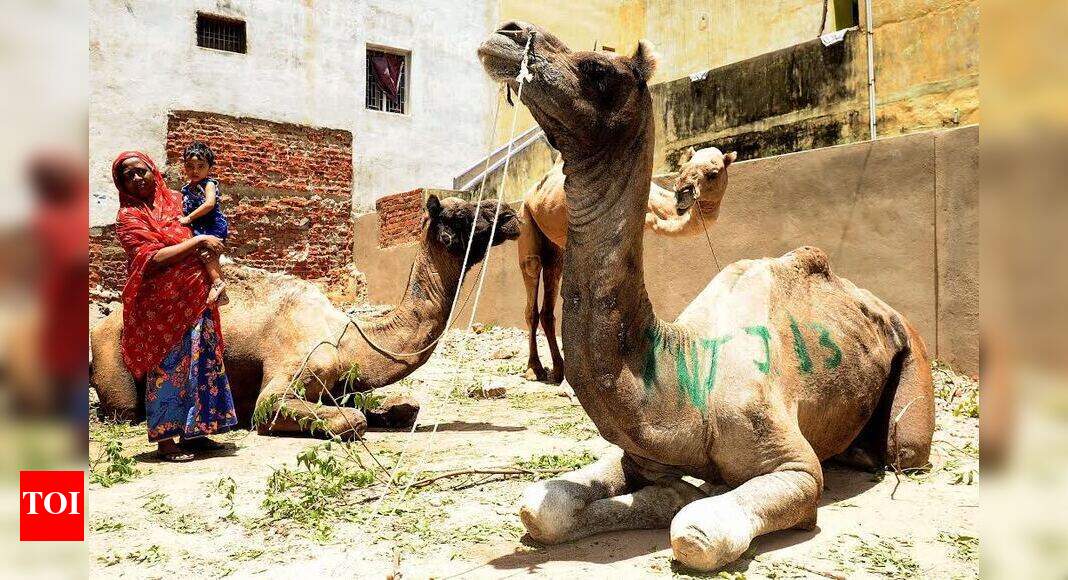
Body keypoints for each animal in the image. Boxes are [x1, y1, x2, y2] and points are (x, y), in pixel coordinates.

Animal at [91, 196, 521, 439]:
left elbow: (402, 408)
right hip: (112, 356)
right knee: (124, 409)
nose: (512, 215)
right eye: (463, 215)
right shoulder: (293, 372)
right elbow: (348, 419)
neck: (350, 339)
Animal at [519, 146, 736, 383]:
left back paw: (558, 371)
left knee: (551, 281)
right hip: (525, 219)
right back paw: (535, 369)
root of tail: (530, 193)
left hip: (554, 247)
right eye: (683, 168)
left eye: (713, 173)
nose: (682, 191)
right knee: (531, 276)